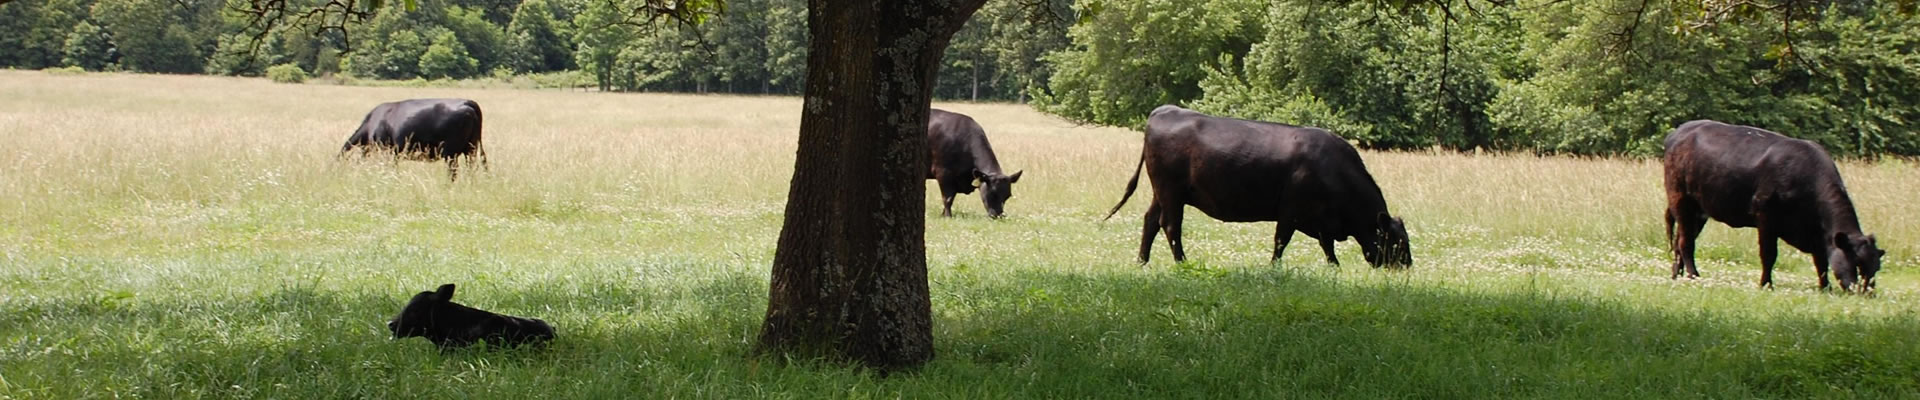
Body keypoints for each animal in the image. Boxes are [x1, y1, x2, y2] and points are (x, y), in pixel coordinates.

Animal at [341, 98, 488, 181]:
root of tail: (467, 102)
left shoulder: (386, 151)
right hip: (471, 149)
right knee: (470, 168)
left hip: (450, 151)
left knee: (453, 170)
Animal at [1104, 105, 1411, 268]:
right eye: (1397, 242)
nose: (1407, 266)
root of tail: (1166, 110)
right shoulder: (1291, 211)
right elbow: (1281, 241)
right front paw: (1274, 267)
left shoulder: (1321, 220)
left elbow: (1326, 246)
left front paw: (1334, 268)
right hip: (1171, 192)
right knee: (1170, 226)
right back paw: (1182, 262)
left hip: (1162, 193)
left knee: (1150, 221)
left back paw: (1142, 261)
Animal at [1663, 120, 1885, 292]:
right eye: (1856, 263)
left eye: (1876, 267)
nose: (1868, 293)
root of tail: (1679, 131)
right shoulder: (1766, 217)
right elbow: (1769, 255)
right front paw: (1766, 285)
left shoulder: (1817, 234)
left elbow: (1821, 261)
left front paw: (1825, 287)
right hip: (1680, 199)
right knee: (1685, 242)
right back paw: (1693, 275)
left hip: (1699, 210)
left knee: (1681, 241)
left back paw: (1677, 275)